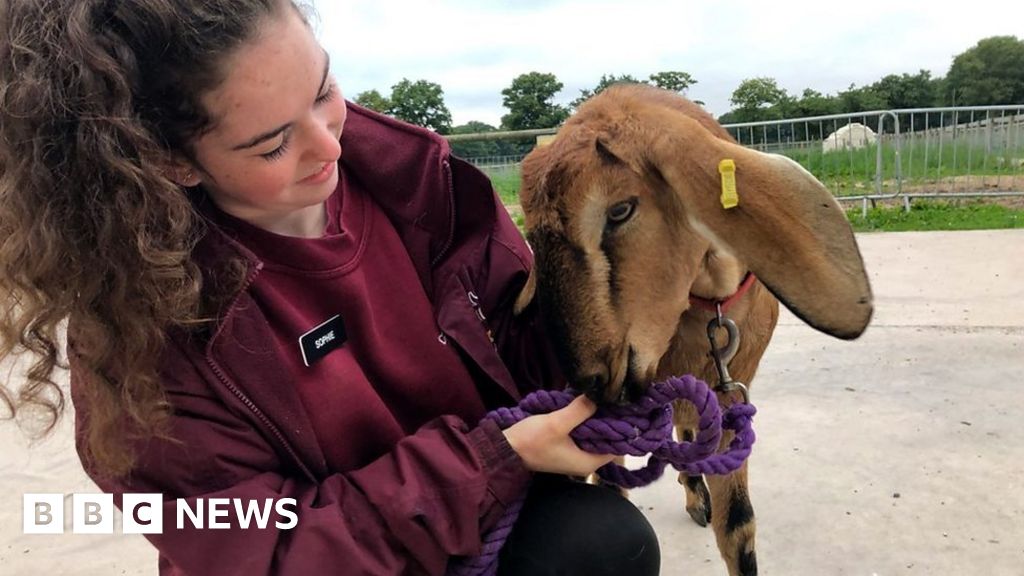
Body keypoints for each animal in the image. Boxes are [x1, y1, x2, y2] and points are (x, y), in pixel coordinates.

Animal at [513, 84, 873, 576]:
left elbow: (737, 523)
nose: (591, 380)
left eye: (621, 209)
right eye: (532, 234)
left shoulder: (732, 396)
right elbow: (612, 486)